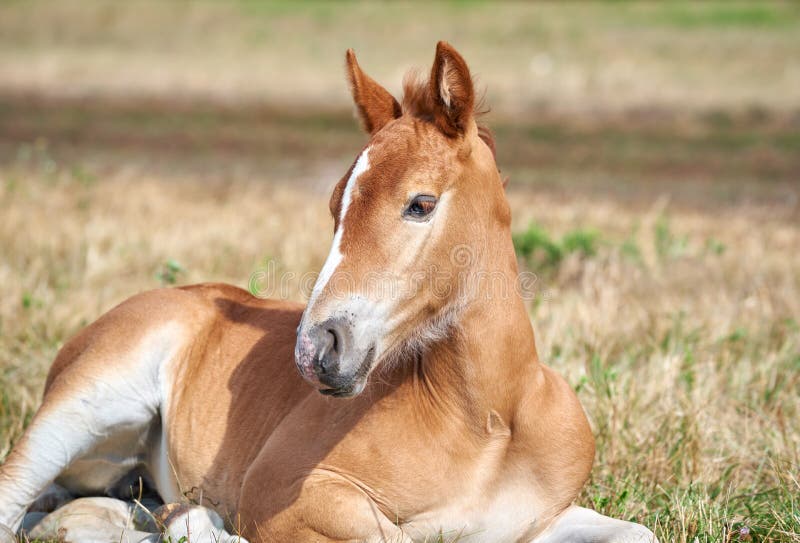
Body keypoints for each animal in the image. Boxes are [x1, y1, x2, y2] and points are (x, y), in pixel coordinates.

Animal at [0, 42, 657, 543]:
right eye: (336, 204)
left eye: (420, 203)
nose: (318, 349)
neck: (487, 418)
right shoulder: (284, 490)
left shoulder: (538, 519)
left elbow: (636, 532)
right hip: (86, 403)